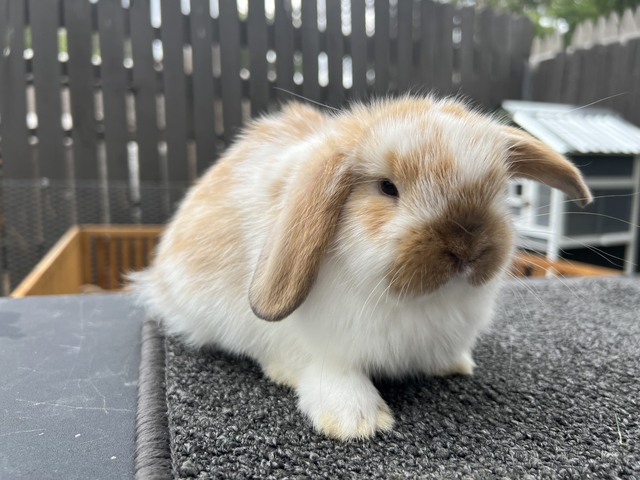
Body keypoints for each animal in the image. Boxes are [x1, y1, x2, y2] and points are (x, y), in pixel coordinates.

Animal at [133, 96, 592, 440]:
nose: (468, 247)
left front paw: (456, 365)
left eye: (498, 188)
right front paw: (356, 423)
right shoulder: (325, 352)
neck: (417, 302)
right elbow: (334, 376)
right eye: (387, 188)